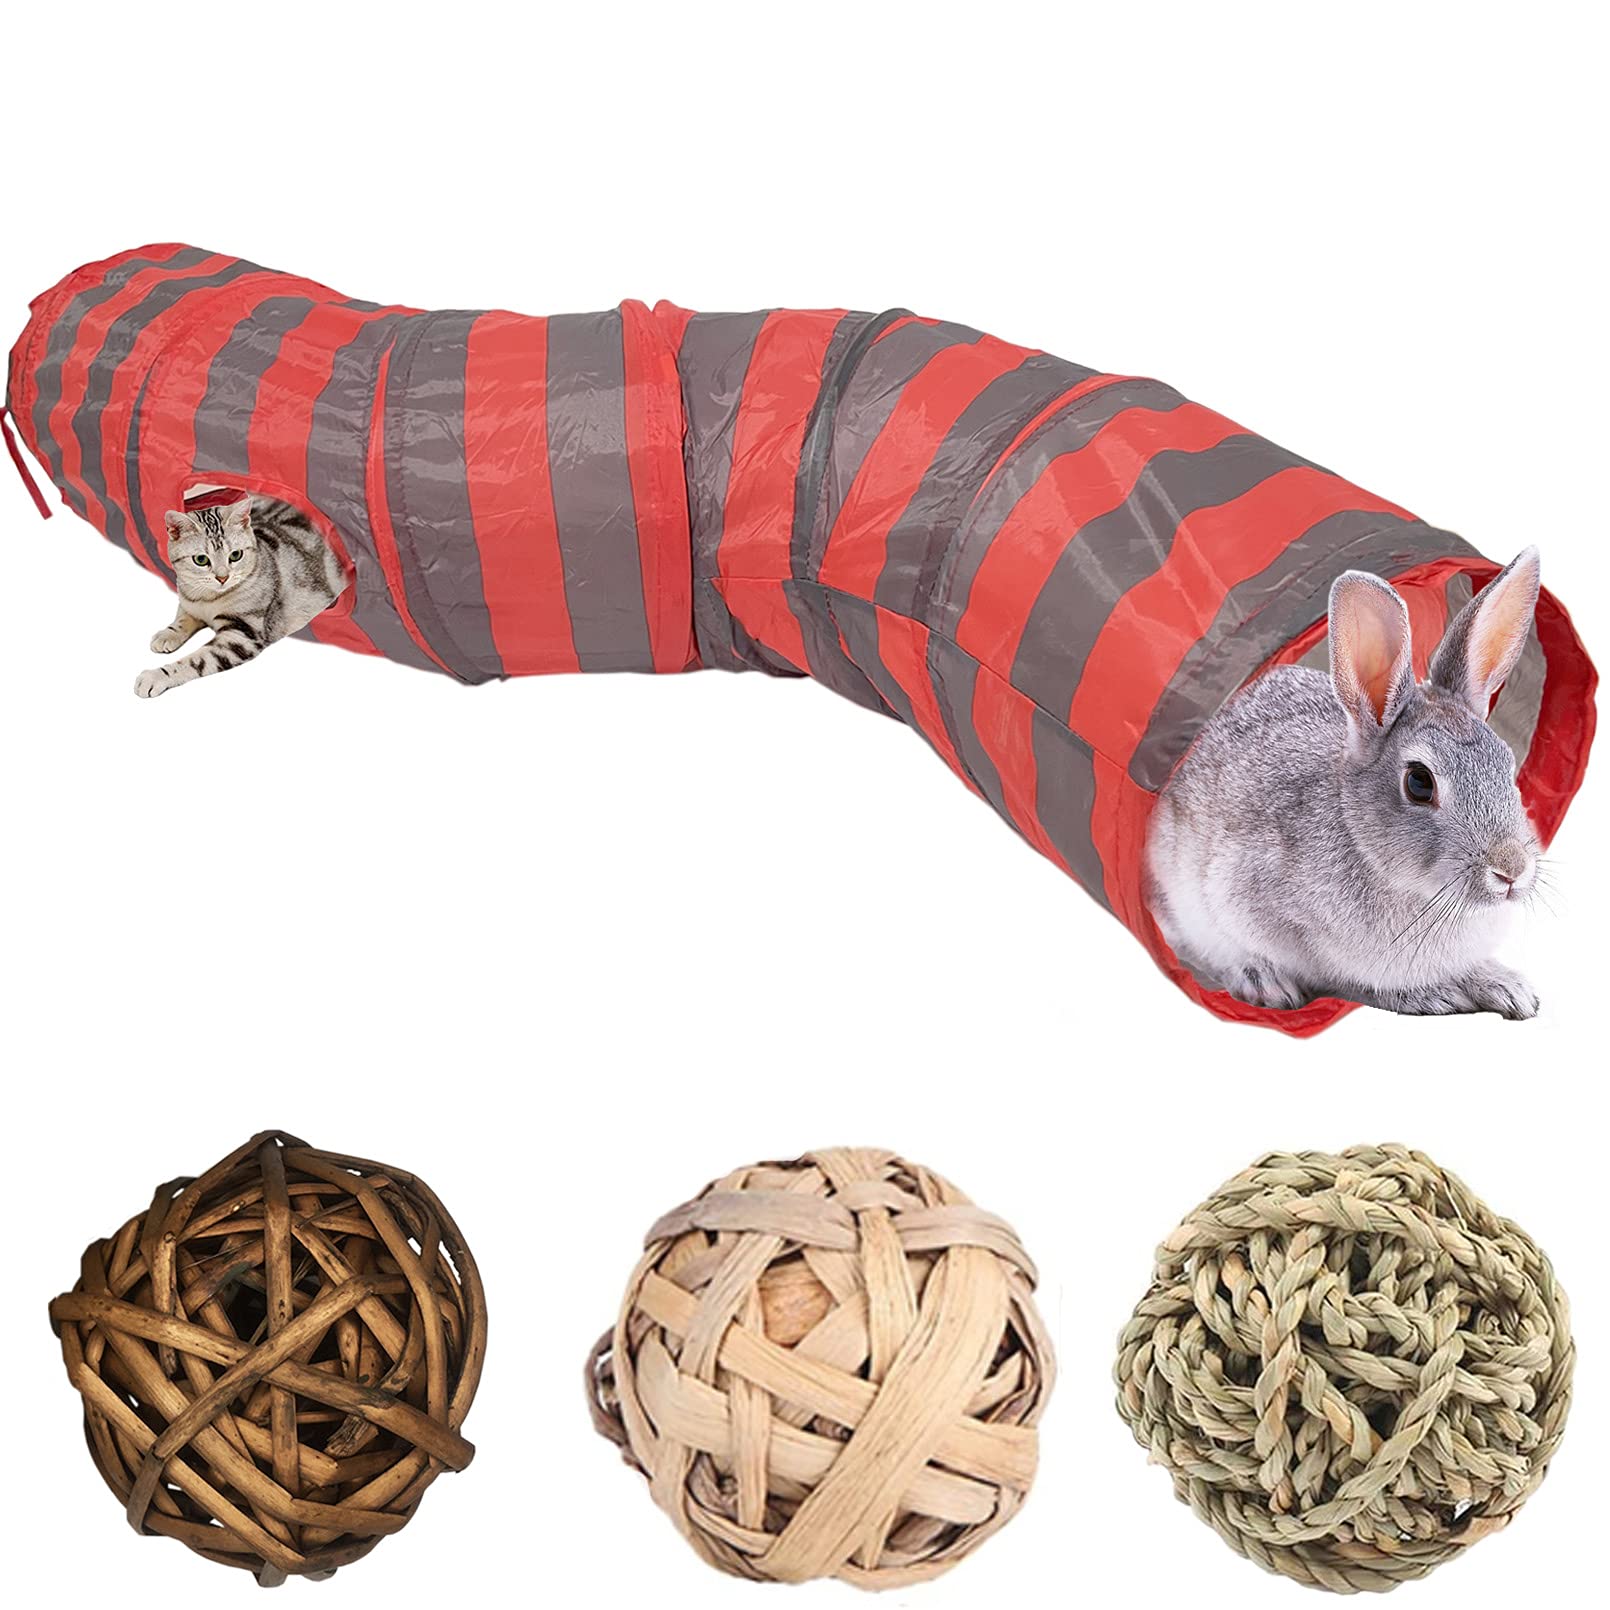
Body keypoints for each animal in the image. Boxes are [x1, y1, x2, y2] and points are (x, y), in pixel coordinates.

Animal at [1145, 548, 1545, 1019]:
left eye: (1506, 761)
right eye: (1420, 783)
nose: (1511, 869)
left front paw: (1511, 990)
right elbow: (1340, 979)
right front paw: (1434, 995)